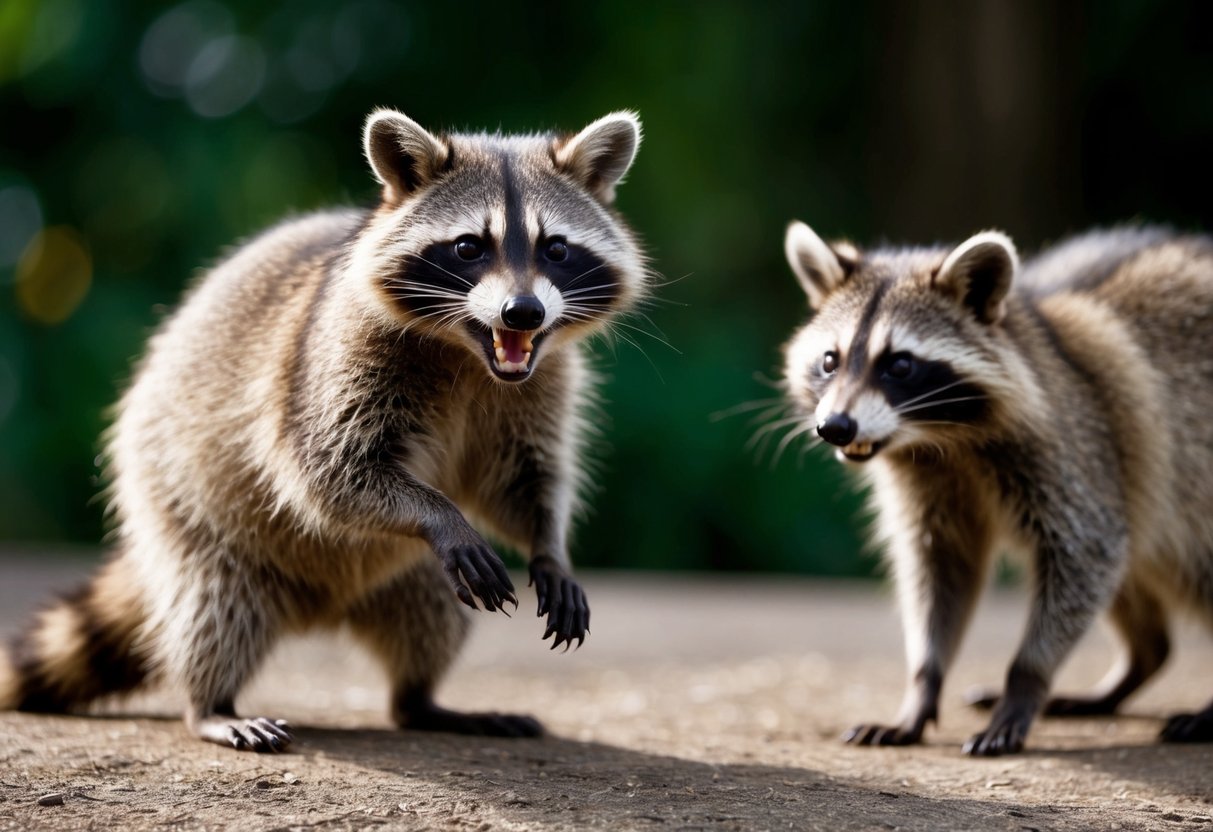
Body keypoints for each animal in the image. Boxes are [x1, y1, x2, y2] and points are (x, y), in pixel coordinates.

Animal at [0, 109, 648, 752]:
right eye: (468, 247)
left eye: (556, 248)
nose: (523, 312)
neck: (469, 352)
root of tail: (321, 609)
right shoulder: (334, 357)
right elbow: (328, 473)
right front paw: (441, 514)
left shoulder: (540, 385)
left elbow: (521, 481)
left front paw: (549, 548)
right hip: (178, 499)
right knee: (213, 604)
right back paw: (209, 703)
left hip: (407, 575)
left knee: (431, 622)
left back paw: (423, 701)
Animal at [781, 220, 1213, 755]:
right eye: (829, 360)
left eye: (899, 365)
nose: (835, 427)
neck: (940, 438)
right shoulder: (929, 487)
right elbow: (939, 571)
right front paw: (921, 686)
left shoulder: (1078, 446)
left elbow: (1087, 554)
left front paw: (1024, 683)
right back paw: (1134, 666)